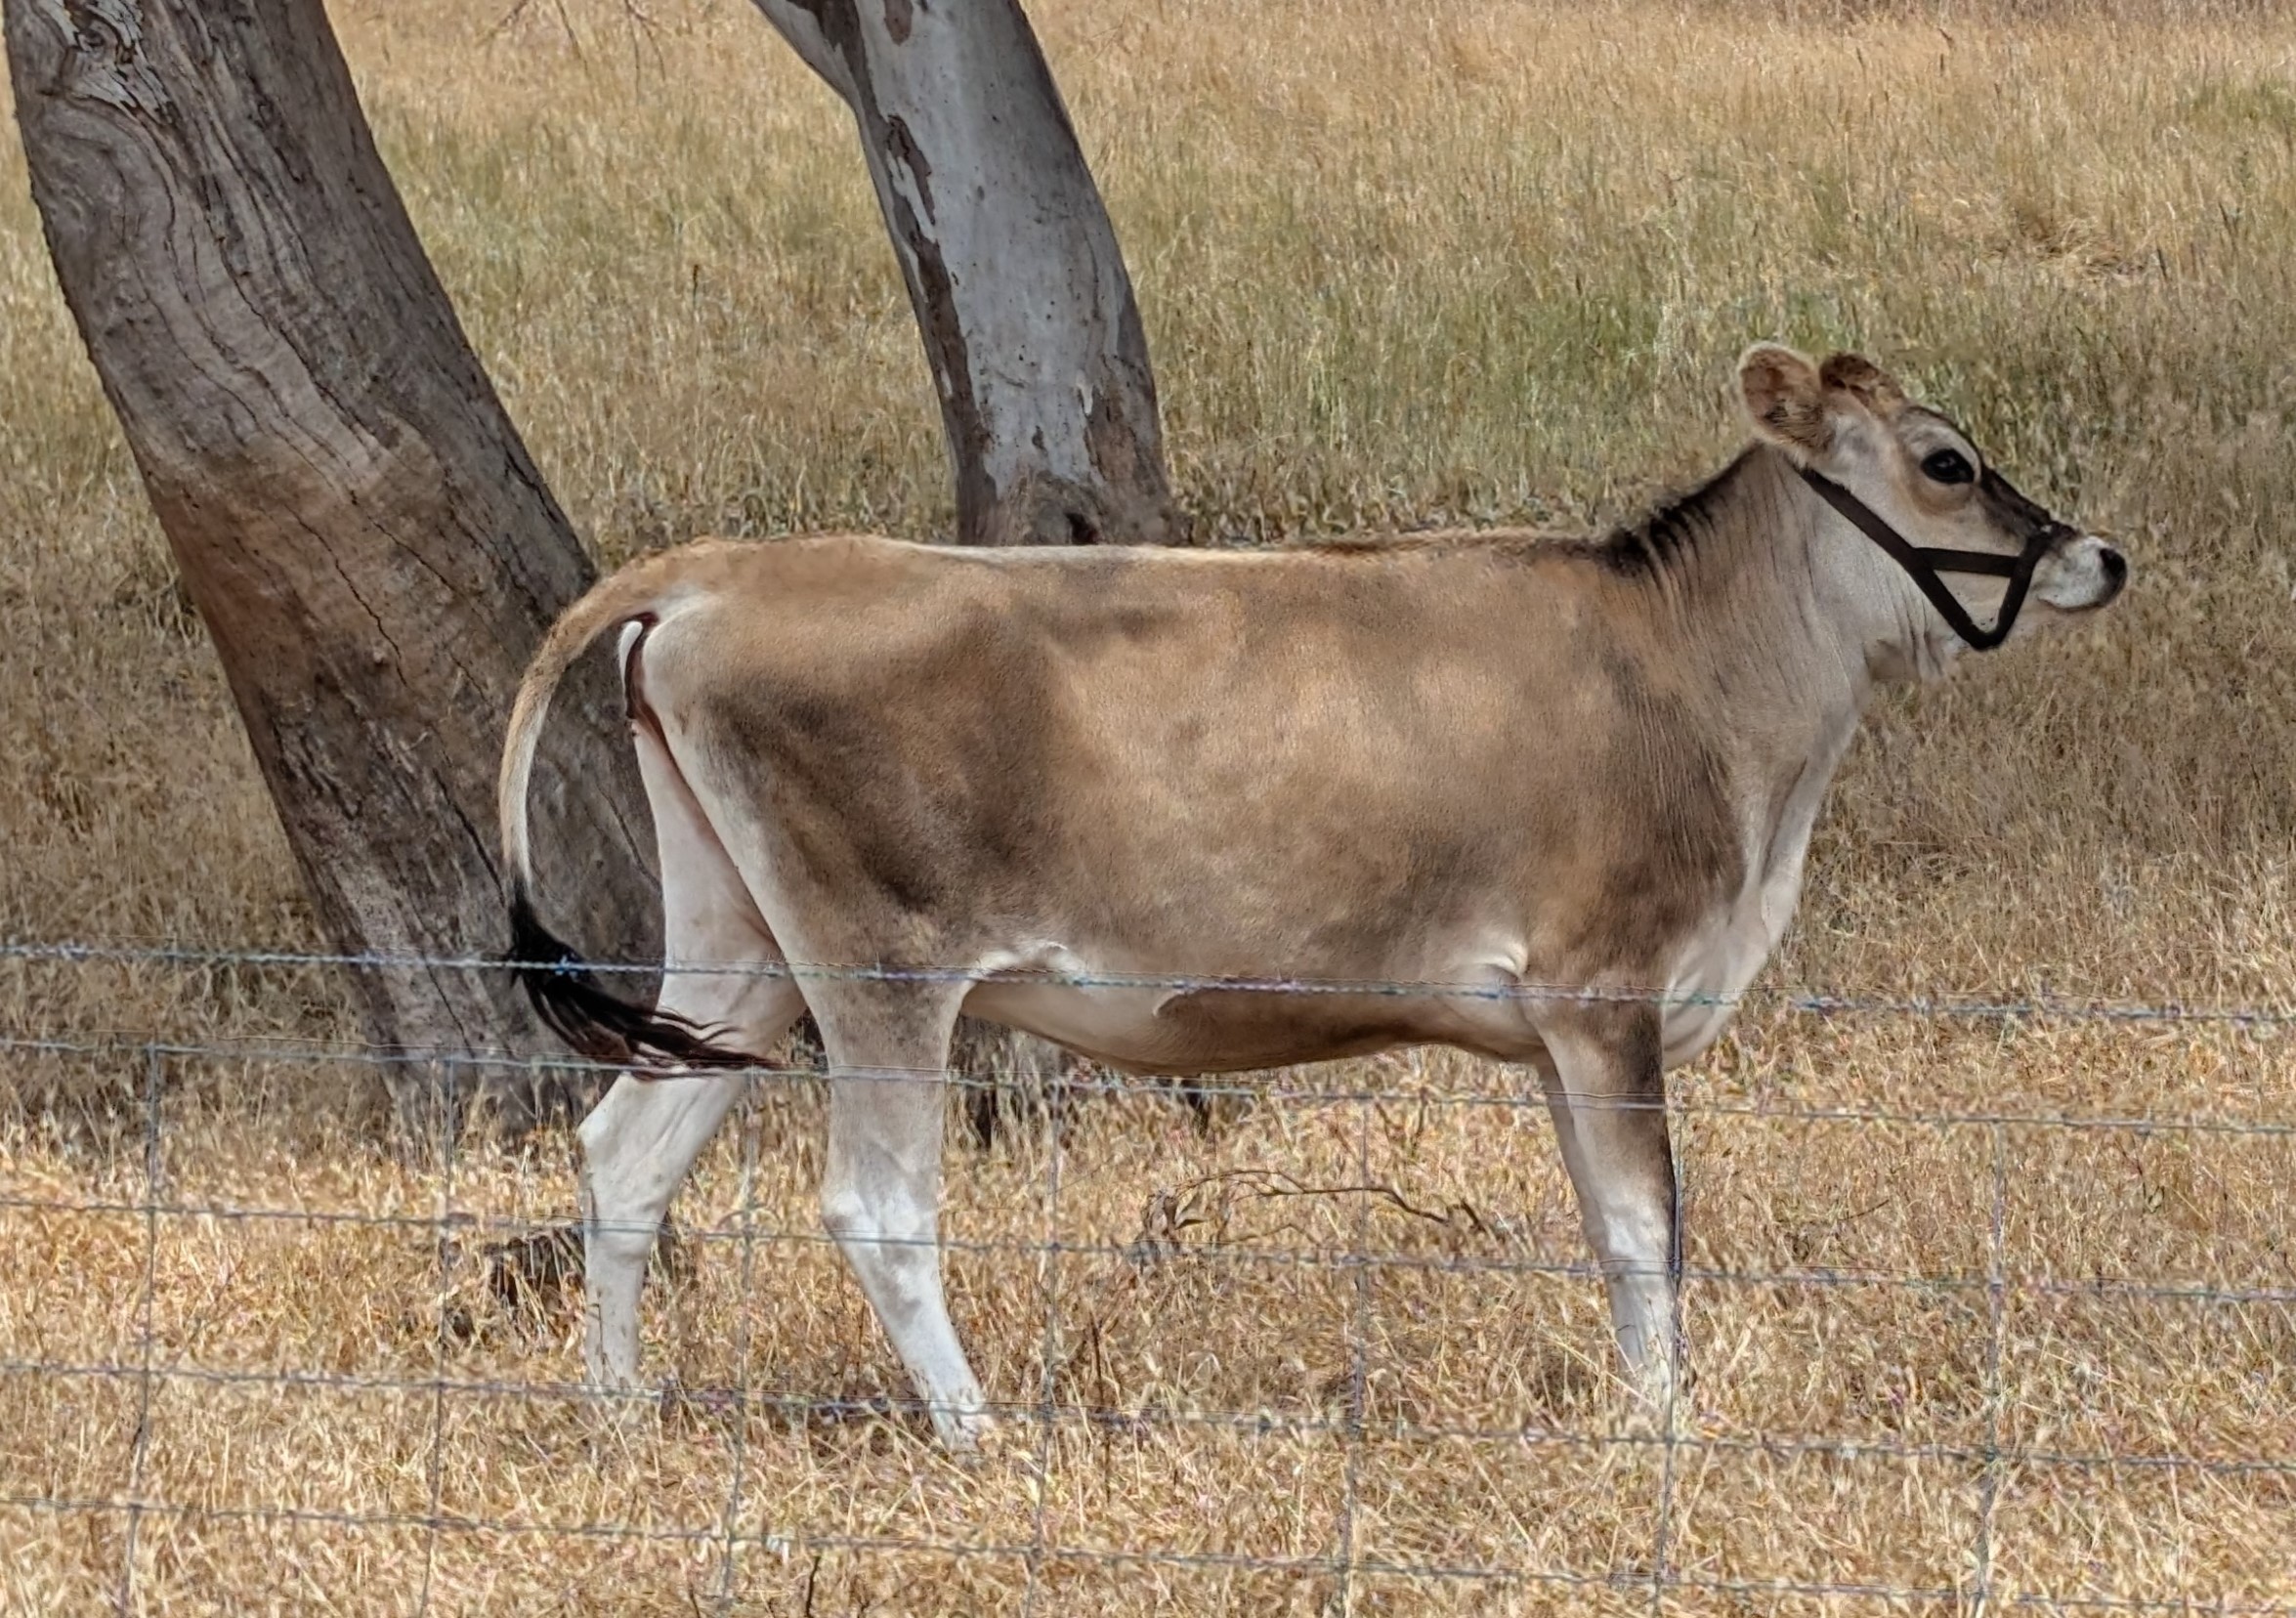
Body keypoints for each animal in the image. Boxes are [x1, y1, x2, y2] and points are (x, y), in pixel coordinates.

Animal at [496, 344, 2127, 1449]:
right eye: (1945, 461)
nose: (2098, 554)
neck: (1693, 675)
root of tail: (721, 571)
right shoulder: (1605, 987)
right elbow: (1644, 1227)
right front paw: (1665, 1427)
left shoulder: (1562, 1030)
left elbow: (1609, 1225)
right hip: (880, 967)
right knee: (877, 1207)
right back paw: (979, 1436)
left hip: (742, 951)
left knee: (625, 1155)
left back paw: (622, 1417)